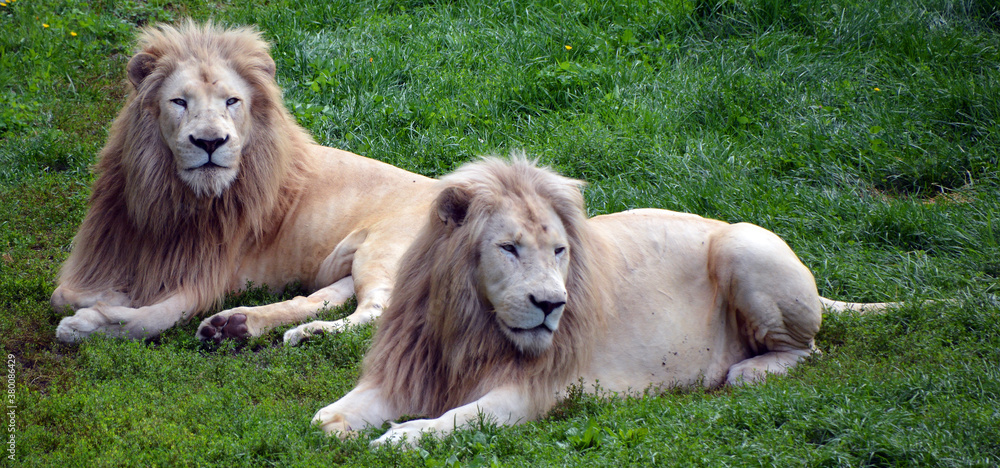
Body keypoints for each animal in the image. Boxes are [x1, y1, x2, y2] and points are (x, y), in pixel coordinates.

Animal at [52, 21, 442, 344]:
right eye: (179, 102)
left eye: (232, 101)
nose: (210, 142)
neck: (172, 195)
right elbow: (62, 295)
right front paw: (107, 298)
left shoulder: (208, 274)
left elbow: (153, 318)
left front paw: (88, 324)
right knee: (321, 297)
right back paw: (239, 326)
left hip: (382, 250)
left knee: (377, 312)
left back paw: (305, 333)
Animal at [308, 156, 894, 446]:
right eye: (509, 248)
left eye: (560, 250)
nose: (550, 304)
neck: (470, 329)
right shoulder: (408, 369)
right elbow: (338, 412)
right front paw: (337, 424)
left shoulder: (532, 392)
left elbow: (459, 419)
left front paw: (402, 437)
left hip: (744, 243)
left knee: (809, 349)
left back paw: (746, 372)